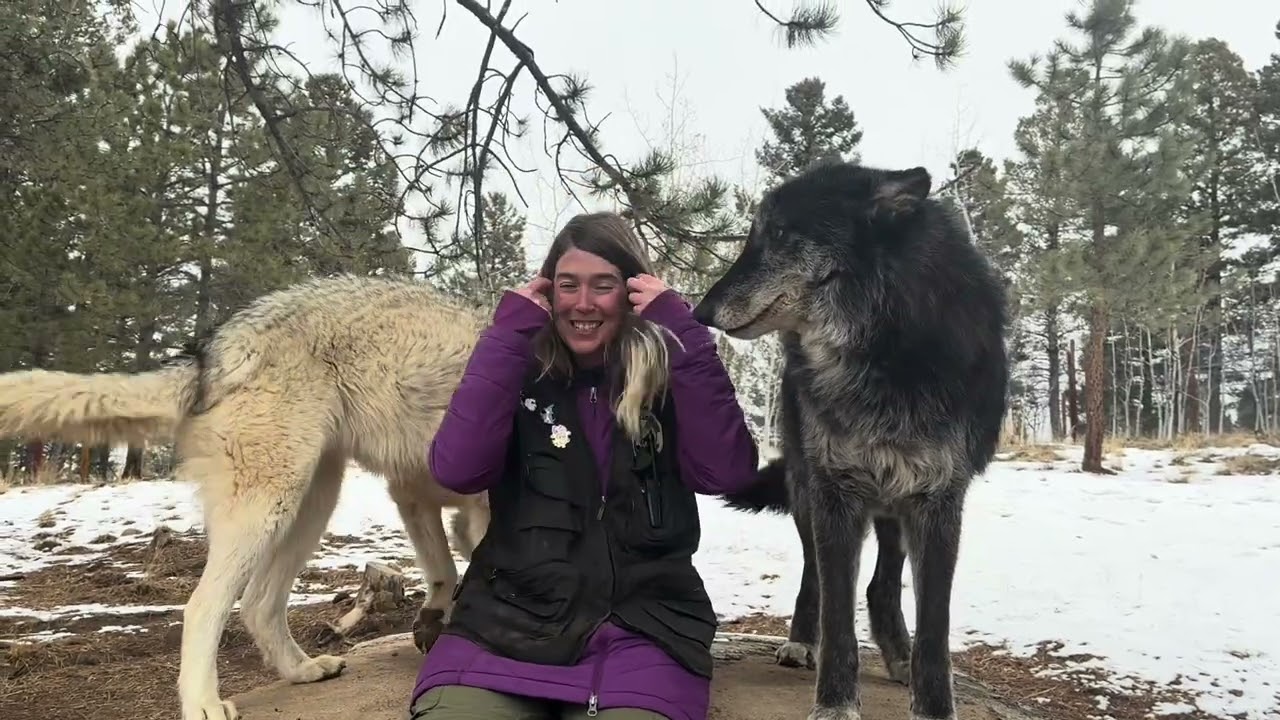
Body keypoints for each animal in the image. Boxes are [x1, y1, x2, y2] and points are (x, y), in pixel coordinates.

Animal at [0, 275, 494, 720]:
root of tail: (215, 348)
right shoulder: (439, 502)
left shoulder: (418, 498)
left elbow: (446, 570)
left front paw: (438, 619)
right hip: (269, 509)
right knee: (203, 606)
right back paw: (203, 705)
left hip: (311, 503)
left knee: (258, 604)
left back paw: (302, 670)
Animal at [693, 161, 1009, 720]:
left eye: (779, 234)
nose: (701, 312)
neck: (883, 346)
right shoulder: (835, 493)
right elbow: (838, 615)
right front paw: (836, 703)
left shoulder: (938, 502)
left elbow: (936, 627)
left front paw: (932, 704)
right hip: (808, 491)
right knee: (816, 576)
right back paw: (801, 641)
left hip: (892, 508)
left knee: (881, 586)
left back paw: (898, 656)